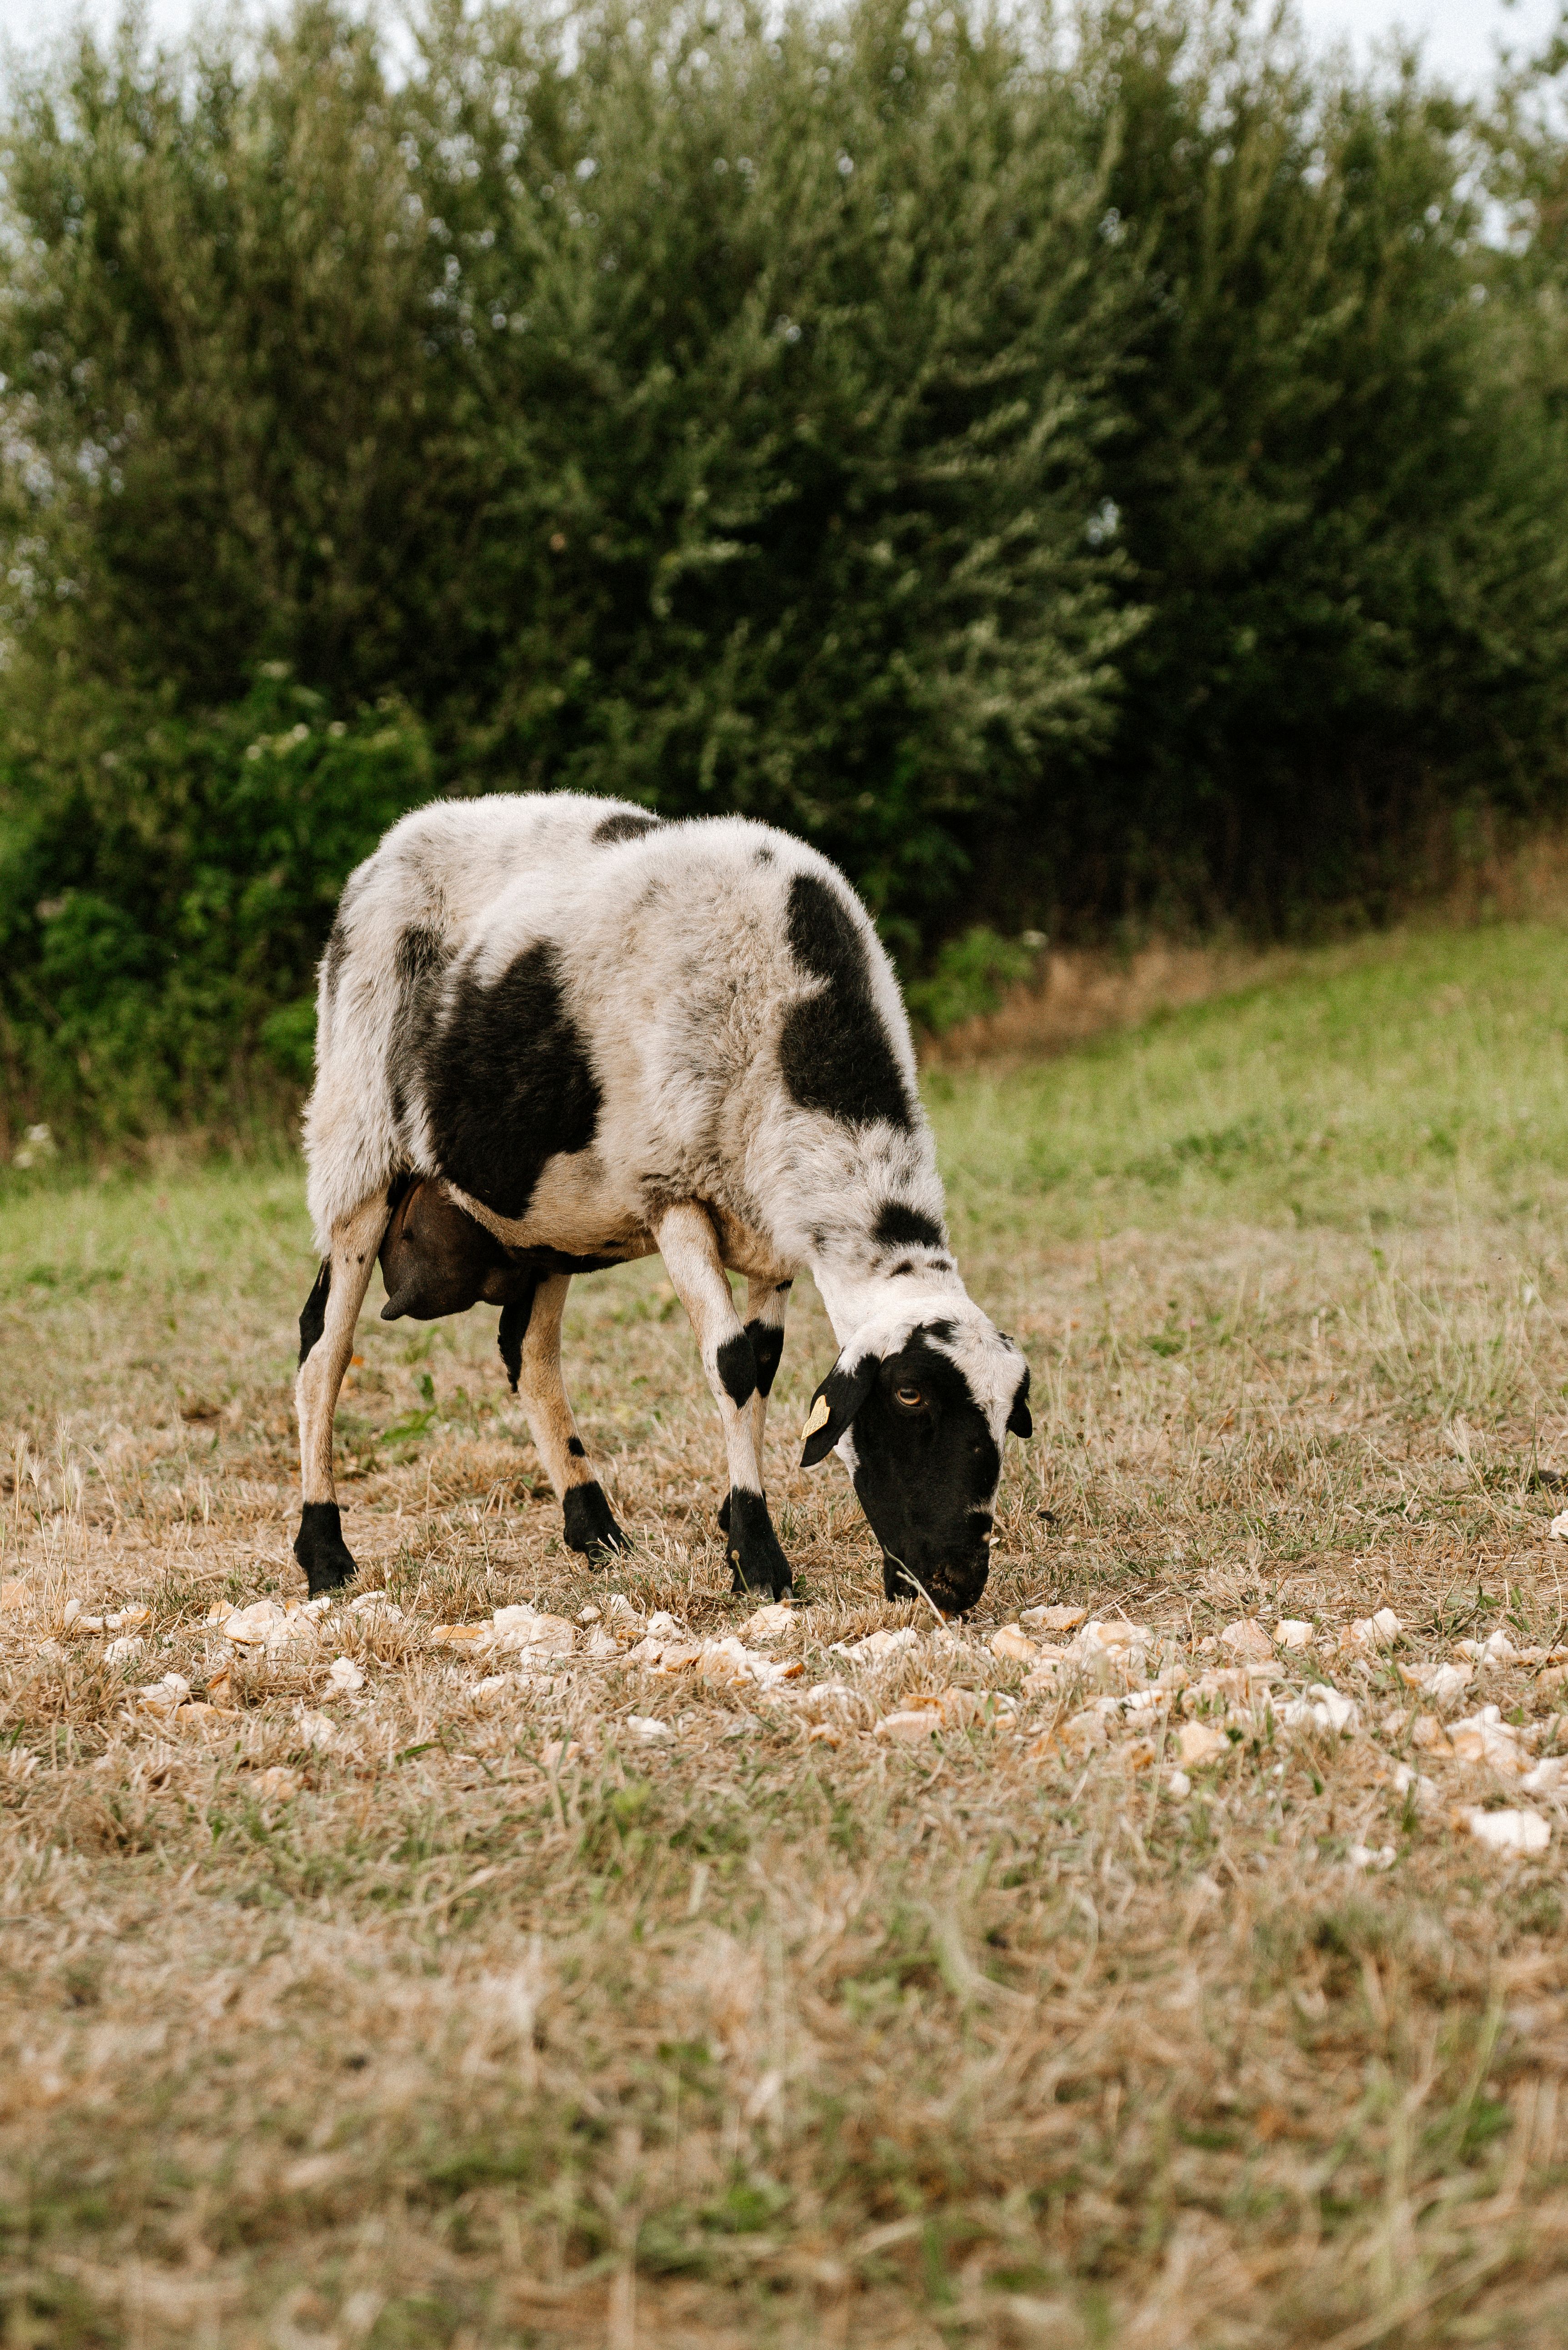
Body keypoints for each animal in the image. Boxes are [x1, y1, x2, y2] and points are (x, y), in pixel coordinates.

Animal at [293, 793, 1032, 1611]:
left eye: (1010, 1416)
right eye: (908, 1397)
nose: (958, 1583)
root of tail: (396, 841)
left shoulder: (770, 1224)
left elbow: (763, 1365)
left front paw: (734, 1526)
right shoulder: (674, 1192)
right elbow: (733, 1365)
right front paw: (758, 1560)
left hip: (550, 1223)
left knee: (530, 1354)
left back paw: (597, 1533)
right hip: (357, 1147)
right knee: (324, 1351)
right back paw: (325, 1554)